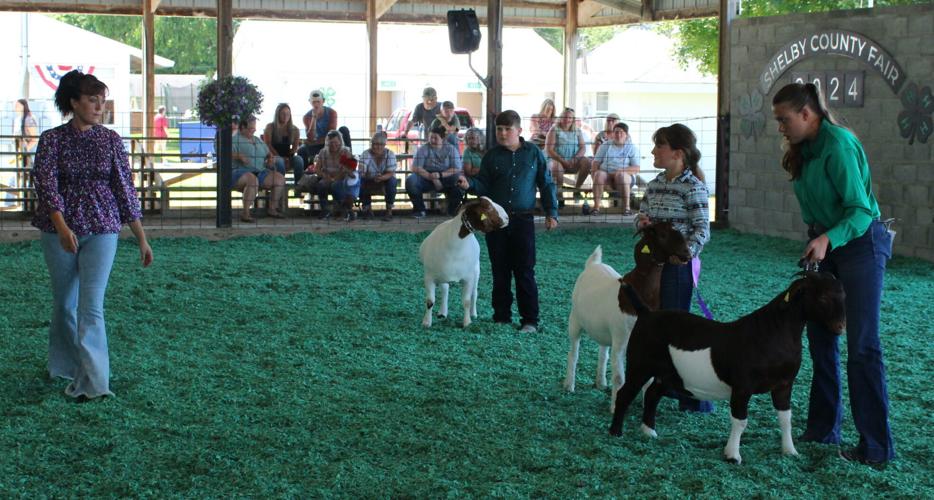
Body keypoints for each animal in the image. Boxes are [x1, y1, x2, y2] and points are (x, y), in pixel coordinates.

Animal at [419, 196, 508, 328]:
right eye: (488, 207)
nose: (507, 218)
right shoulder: (429, 277)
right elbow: (430, 301)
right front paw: (426, 322)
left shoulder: (468, 278)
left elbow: (466, 301)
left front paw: (467, 322)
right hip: (442, 275)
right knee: (445, 289)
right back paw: (442, 313)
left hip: (476, 271)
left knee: (474, 293)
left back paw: (473, 314)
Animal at [564, 222, 692, 412]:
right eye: (662, 234)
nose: (688, 253)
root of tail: (593, 264)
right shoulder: (621, 339)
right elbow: (619, 378)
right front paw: (615, 407)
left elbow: (648, 380)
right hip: (575, 321)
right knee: (573, 352)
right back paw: (569, 385)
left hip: (605, 330)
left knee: (603, 353)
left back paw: (601, 382)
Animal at [608, 272, 846, 465]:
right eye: (822, 297)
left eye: (843, 296)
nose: (840, 327)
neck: (772, 334)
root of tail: (646, 313)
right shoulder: (742, 387)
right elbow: (740, 421)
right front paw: (733, 456)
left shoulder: (784, 385)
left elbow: (785, 418)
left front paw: (790, 451)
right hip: (640, 364)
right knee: (625, 393)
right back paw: (616, 432)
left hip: (668, 374)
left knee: (652, 393)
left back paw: (649, 431)